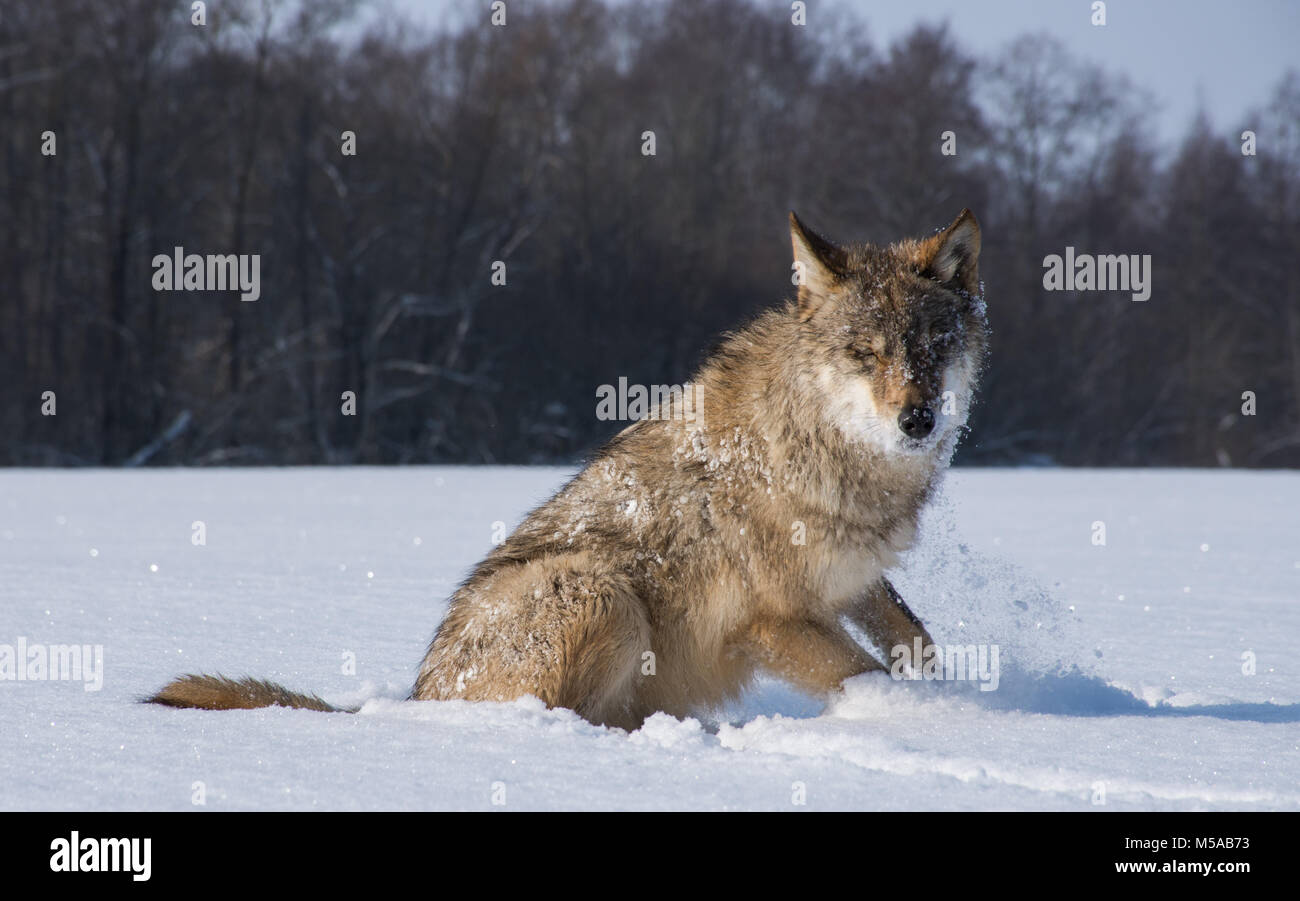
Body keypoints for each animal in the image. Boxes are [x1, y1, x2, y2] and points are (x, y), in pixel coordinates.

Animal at [149, 210, 988, 729]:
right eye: (865, 354)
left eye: (932, 348)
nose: (917, 419)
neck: (825, 453)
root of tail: (416, 697)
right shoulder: (774, 619)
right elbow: (866, 675)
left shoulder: (854, 580)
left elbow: (915, 643)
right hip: (601, 592)